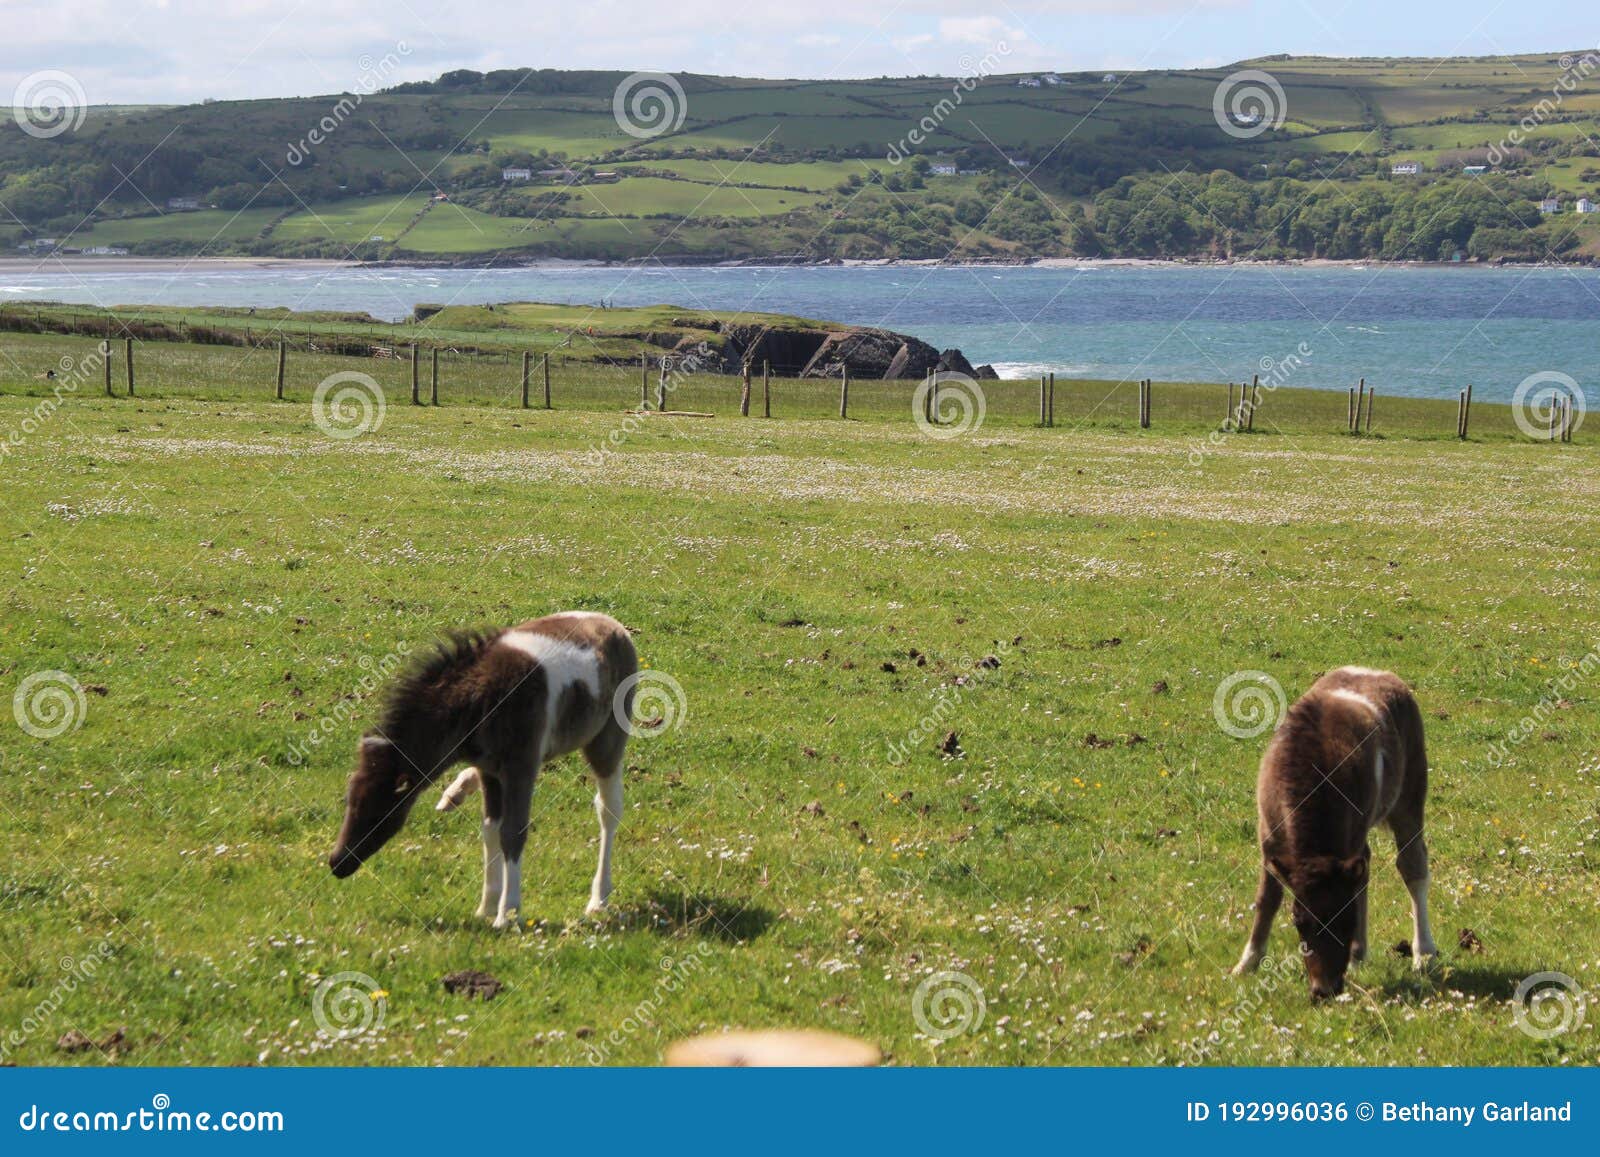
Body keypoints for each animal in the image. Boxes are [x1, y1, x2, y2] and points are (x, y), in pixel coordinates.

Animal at [327, 611, 638, 928]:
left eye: (382, 812)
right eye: (349, 801)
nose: (338, 863)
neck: (479, 699)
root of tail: (612, 624)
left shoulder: (520, 767)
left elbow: (513, 832)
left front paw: (508, 913)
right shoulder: (490, 770)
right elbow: (491, 830)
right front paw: (487, 906)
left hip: (606, 741)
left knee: (609, 809)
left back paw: (599, 899)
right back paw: (456, 792)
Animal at [1232, 666, 1436, 999]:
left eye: (1346, 920)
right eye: (1299, 922)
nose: (1324, 990)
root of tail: (1377, 672)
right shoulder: (1269, 838)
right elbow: (1267, 899)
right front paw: (1247, 963)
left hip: (1409, 797)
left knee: (1412, 866)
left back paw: (1424, 954)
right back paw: (1360, 955)